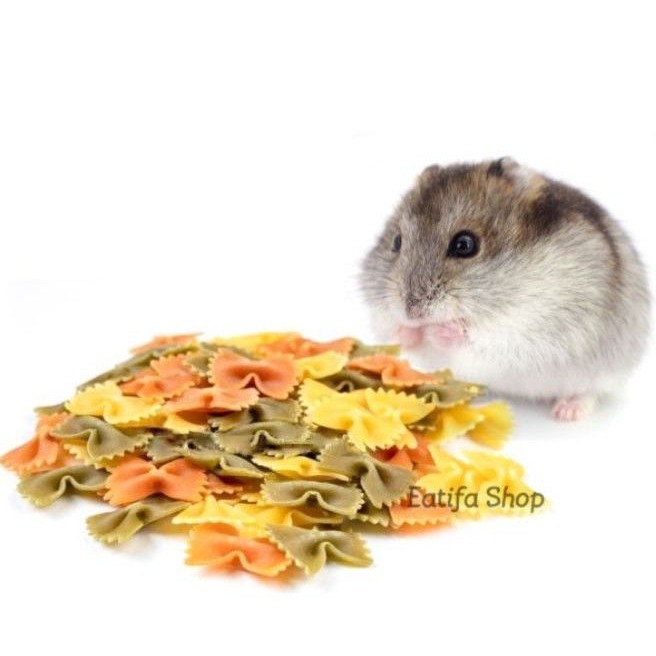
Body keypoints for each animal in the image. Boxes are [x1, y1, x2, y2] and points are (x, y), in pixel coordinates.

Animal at [360, 158, 651, 420]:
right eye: (397, 242)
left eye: (465, 244)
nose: (412, 312)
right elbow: (394, 330)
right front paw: (410, 331)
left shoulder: (528, 331)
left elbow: (477, 336)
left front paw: (437, 330)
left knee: (589, 392)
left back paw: (567, 412)